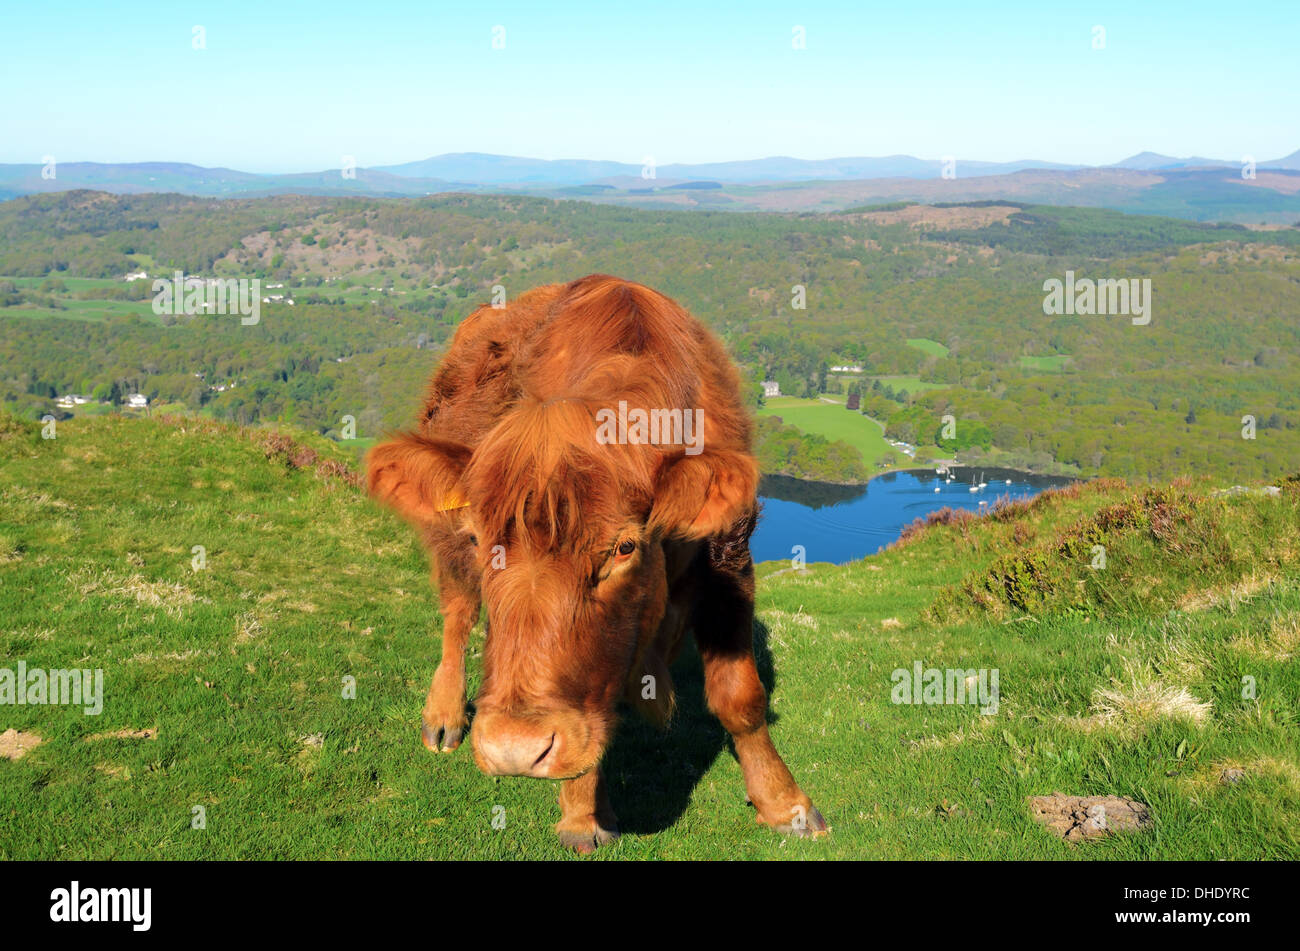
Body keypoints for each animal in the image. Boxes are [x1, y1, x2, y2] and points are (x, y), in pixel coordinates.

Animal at [366, 274, 825, 852]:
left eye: (624, 548)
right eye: (476, 537)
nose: (515, 747)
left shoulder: (729, 554)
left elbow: (740, 695)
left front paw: (784, 802)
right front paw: (584, 814)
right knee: (457, 615)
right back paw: (444, 715)